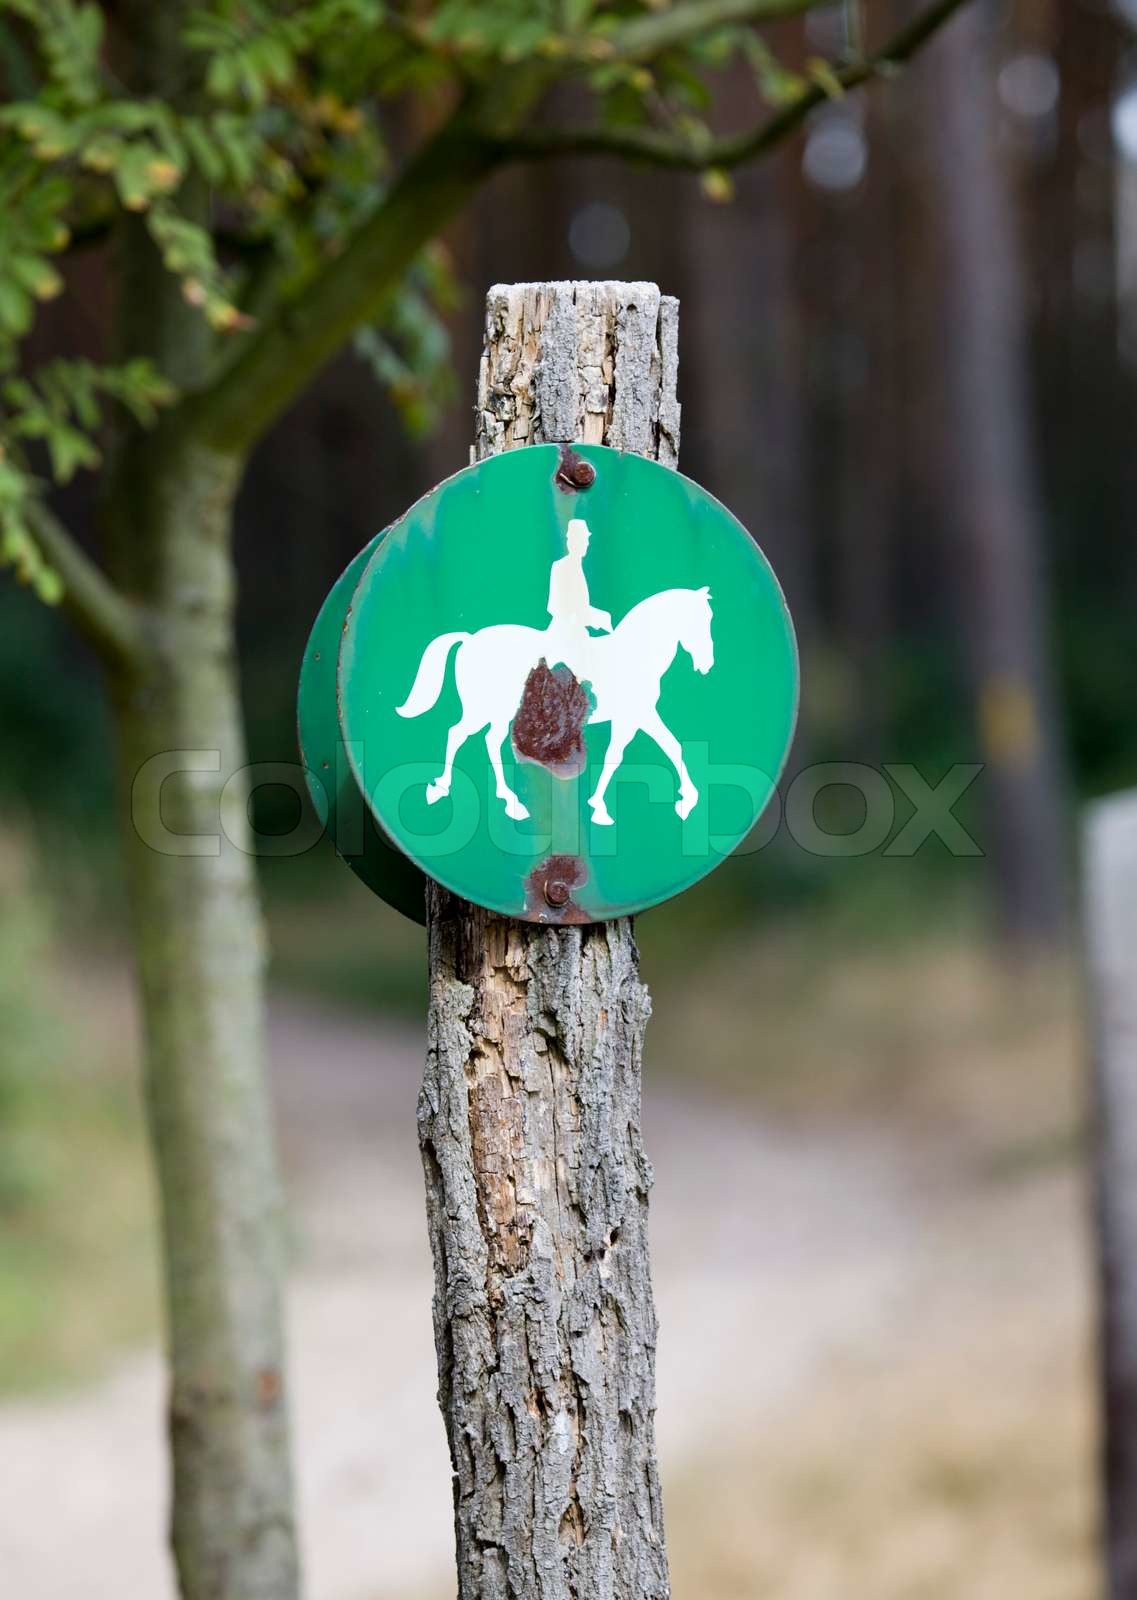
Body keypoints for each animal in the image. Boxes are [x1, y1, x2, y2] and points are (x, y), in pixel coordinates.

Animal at [395, 586, 714, 825]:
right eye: (702, 619)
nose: (707, 665)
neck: (634, 654)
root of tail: (470, 638)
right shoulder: (636, 717)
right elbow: (634, 752)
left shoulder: (637, 717)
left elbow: (663, 747)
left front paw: (685, 800)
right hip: (485, 709)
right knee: (457, 734)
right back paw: (441, 789)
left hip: (497, 713)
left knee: (488, 740)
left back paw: (510, 803)